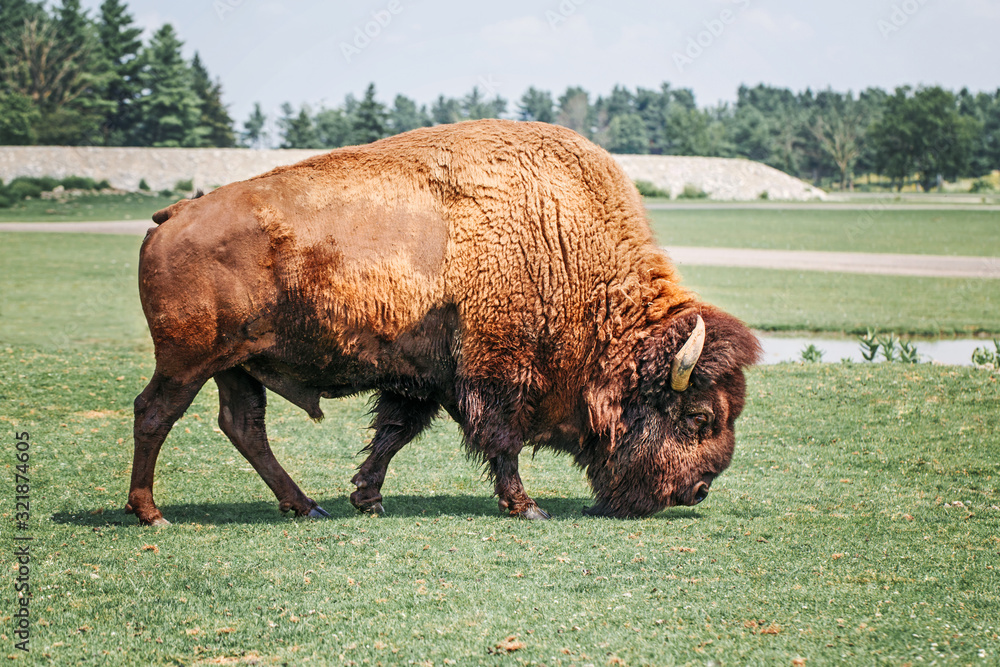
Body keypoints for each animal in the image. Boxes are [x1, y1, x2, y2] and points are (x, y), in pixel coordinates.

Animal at [126, 119, 759, 525]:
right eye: (700, 417)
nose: (697, 490)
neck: (560, 242)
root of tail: (174, 214)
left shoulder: (422, 381)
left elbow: (394, 433)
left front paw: (367, 498)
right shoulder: (496, 371)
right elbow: (501, 439)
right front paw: (527, 507)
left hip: (236, 366)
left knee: (244, 426)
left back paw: (307, 506)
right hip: (187, 362)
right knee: (155, 414)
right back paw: (152, 514)